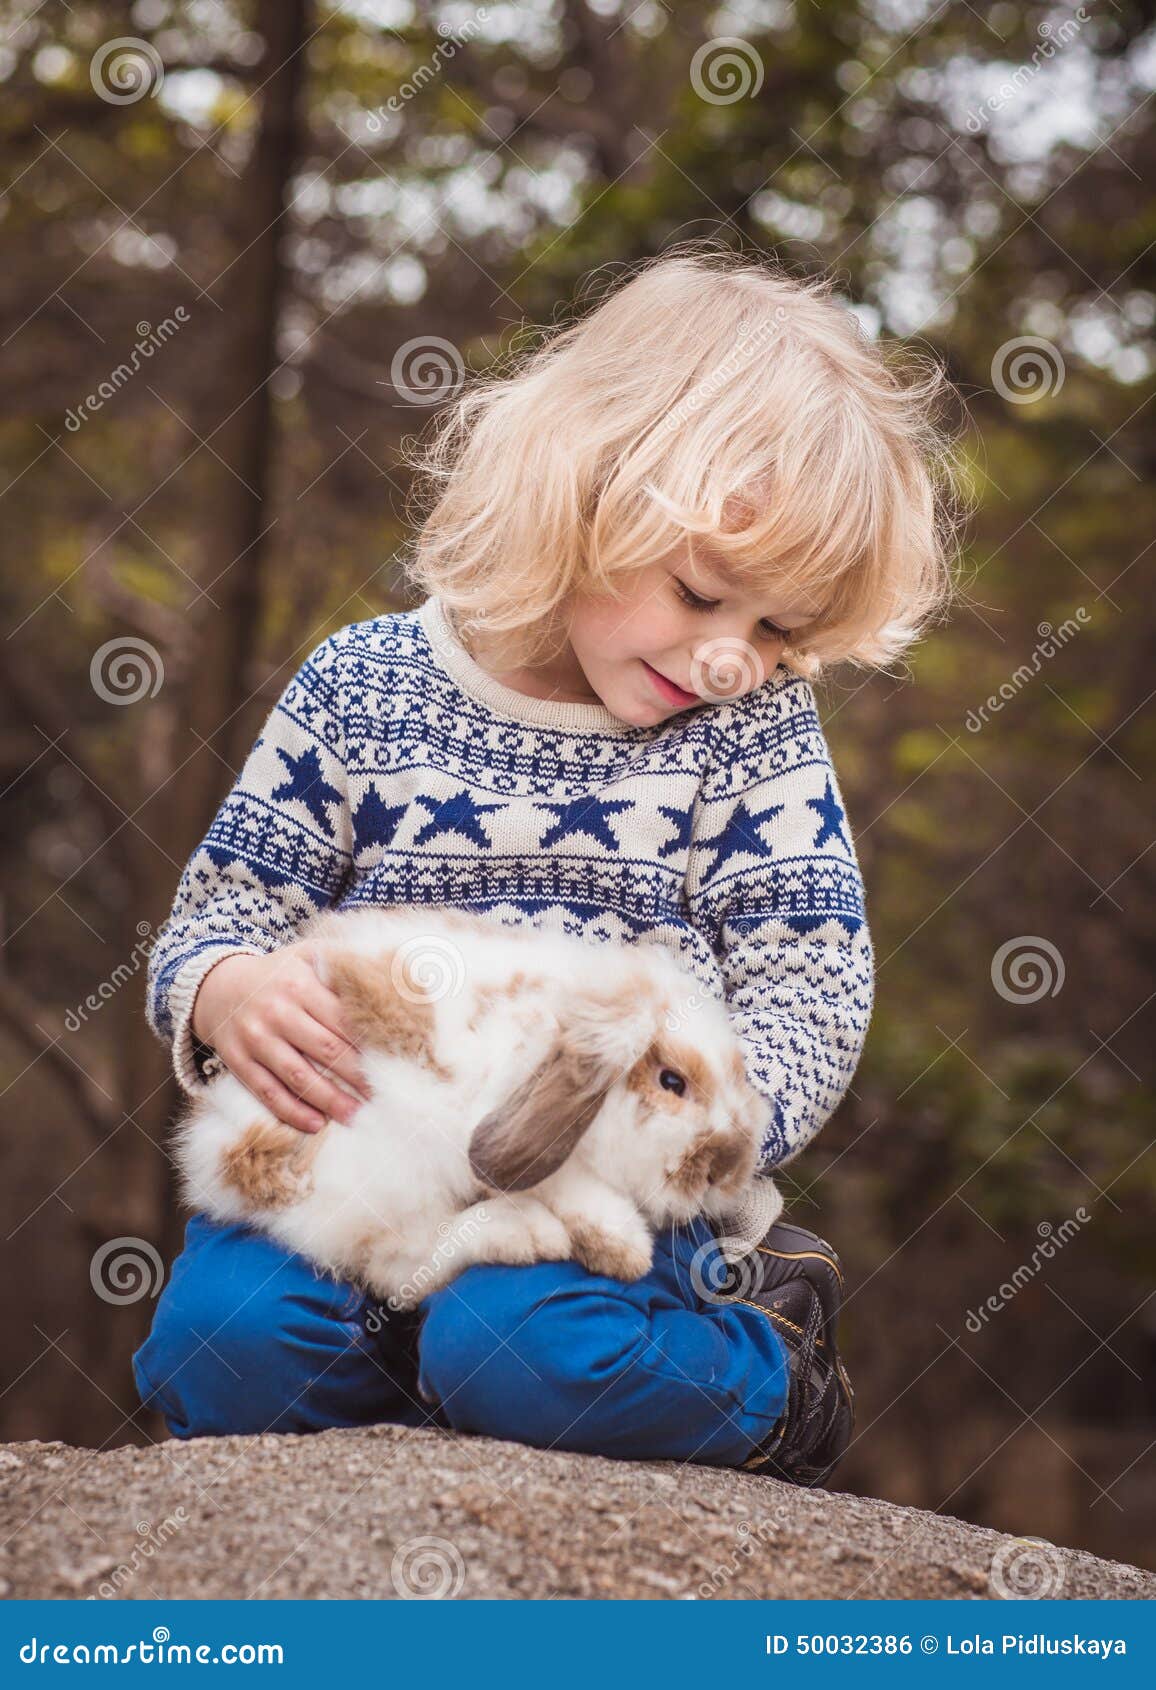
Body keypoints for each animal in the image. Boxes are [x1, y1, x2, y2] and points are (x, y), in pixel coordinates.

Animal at [172, 903, 782, 1311]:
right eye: (671, 1081)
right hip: (384, 1167)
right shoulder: (490, 1128)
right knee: (402, 1268)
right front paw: (624, 1248)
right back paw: (532, 1236)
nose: (726, 1170)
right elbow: (570, 1186)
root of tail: (219, 1152)